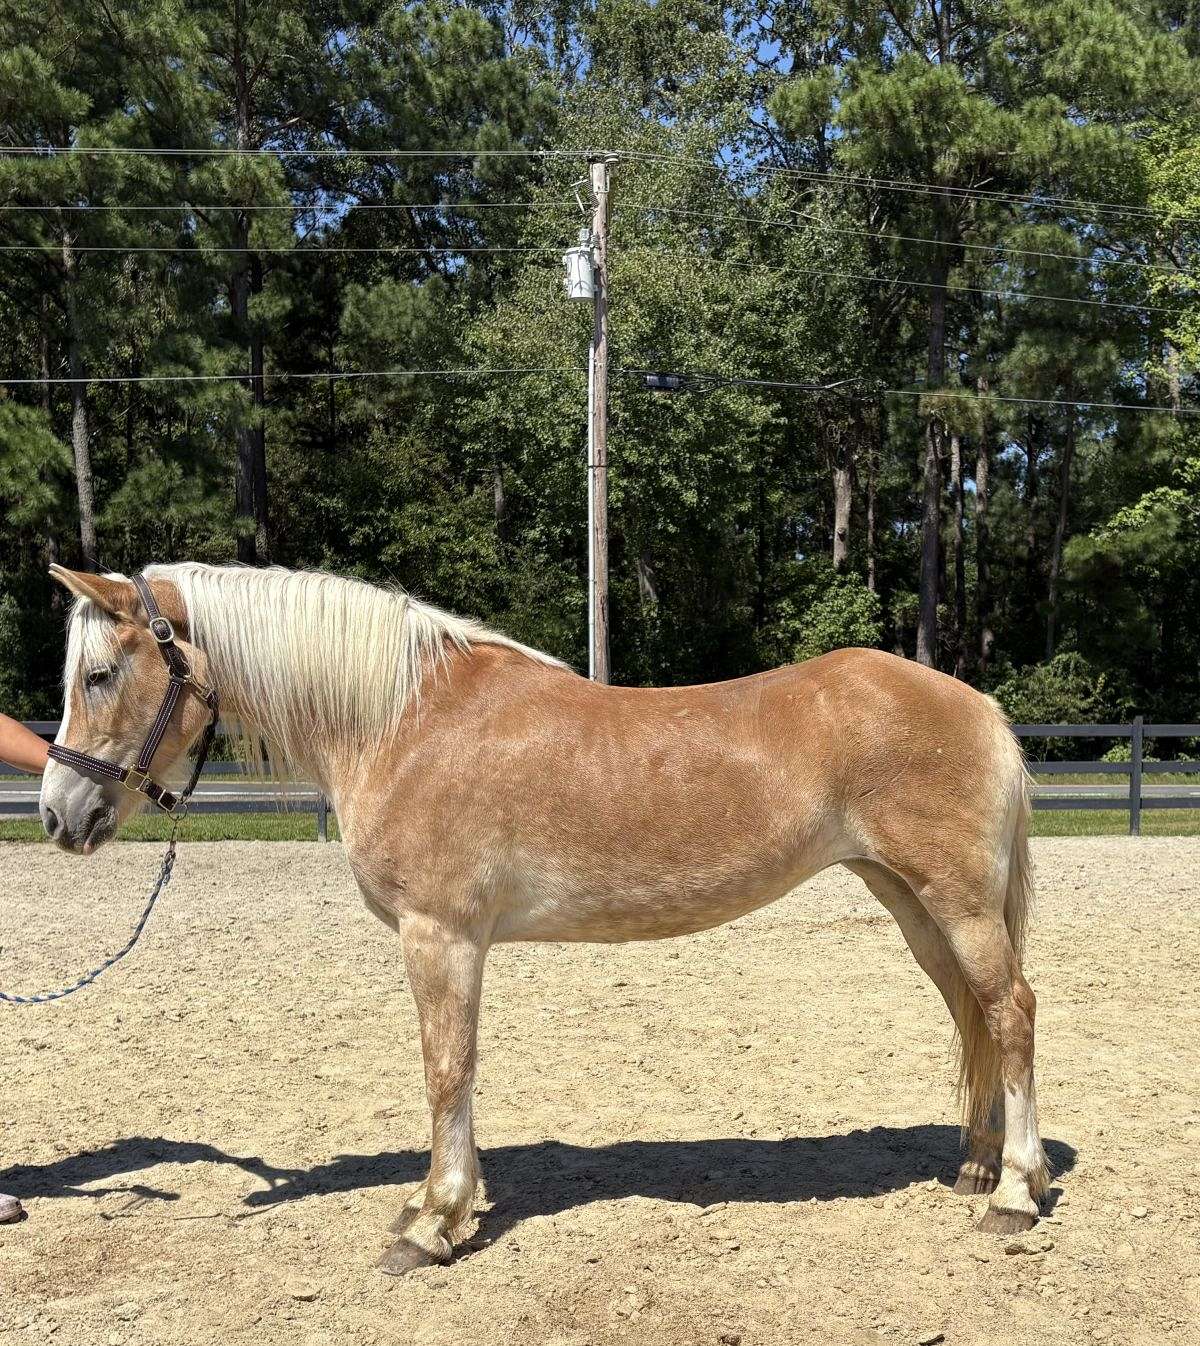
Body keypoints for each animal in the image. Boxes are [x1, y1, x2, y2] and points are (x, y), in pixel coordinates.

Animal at [38, 561, 1049, 1273]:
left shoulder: (440, 934)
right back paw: (977, 1167)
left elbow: (447, 1069)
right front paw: (443, 1205)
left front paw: (432, 1222)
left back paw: (1014, 1196)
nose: (58, 815)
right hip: (909, 900)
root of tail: (980, 706)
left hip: (954, 899)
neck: (400, 721)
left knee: (1011, 1014)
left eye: (100, 676)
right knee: (971, 1013)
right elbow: (456, 1070)